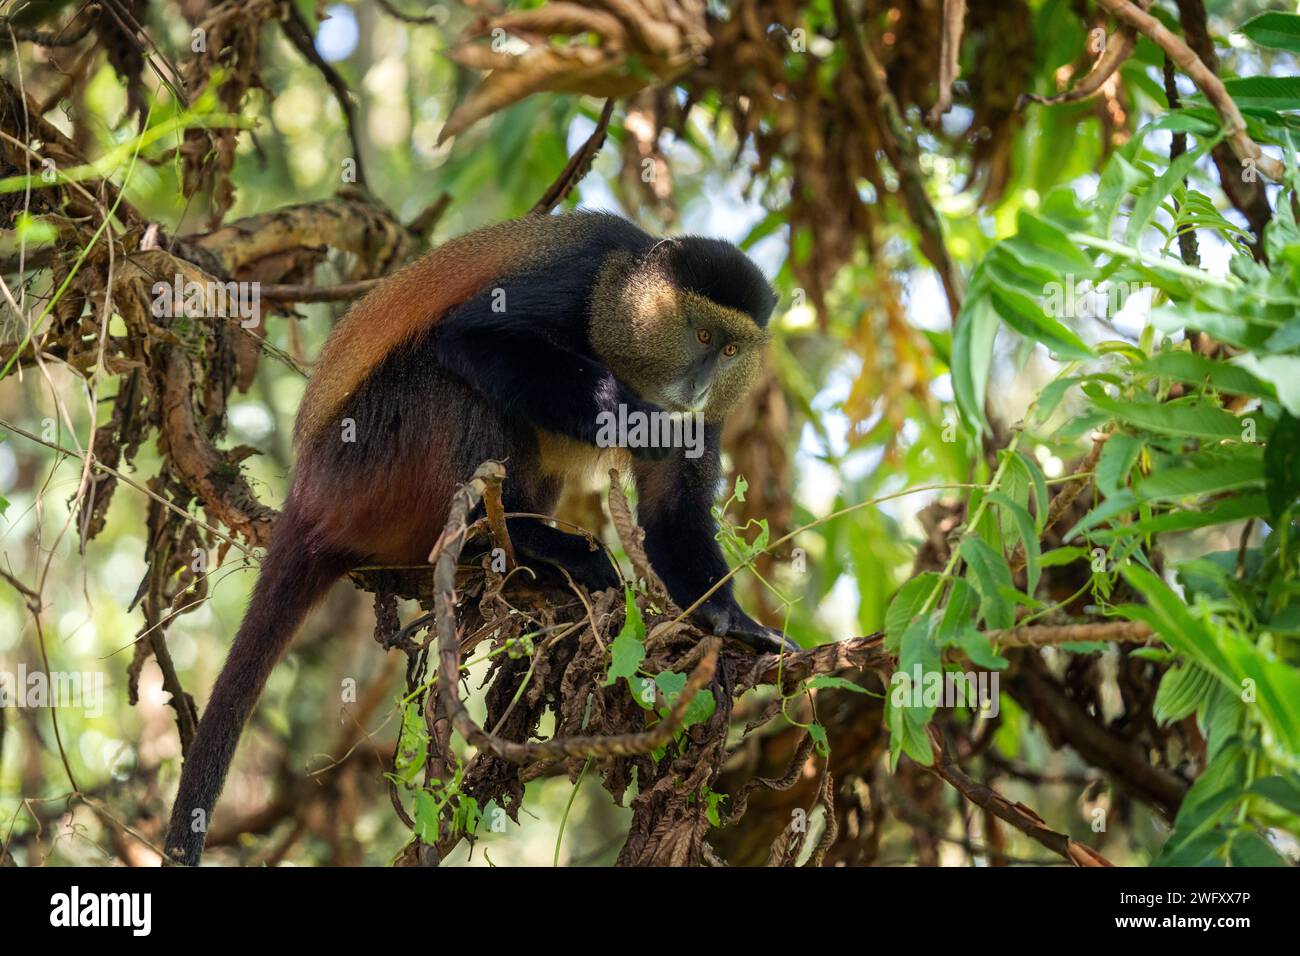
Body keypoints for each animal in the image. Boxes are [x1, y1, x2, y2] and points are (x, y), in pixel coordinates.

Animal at [163, 210, 794, 865]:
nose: (698, 387)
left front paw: (731, 621)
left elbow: (675, 508)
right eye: (700, 336)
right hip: (370, 458)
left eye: (729, 350)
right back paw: (511, 541)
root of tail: (308, 498)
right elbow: (472, 336)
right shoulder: (579, 273)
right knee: (450, 374)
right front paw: (626, 416)